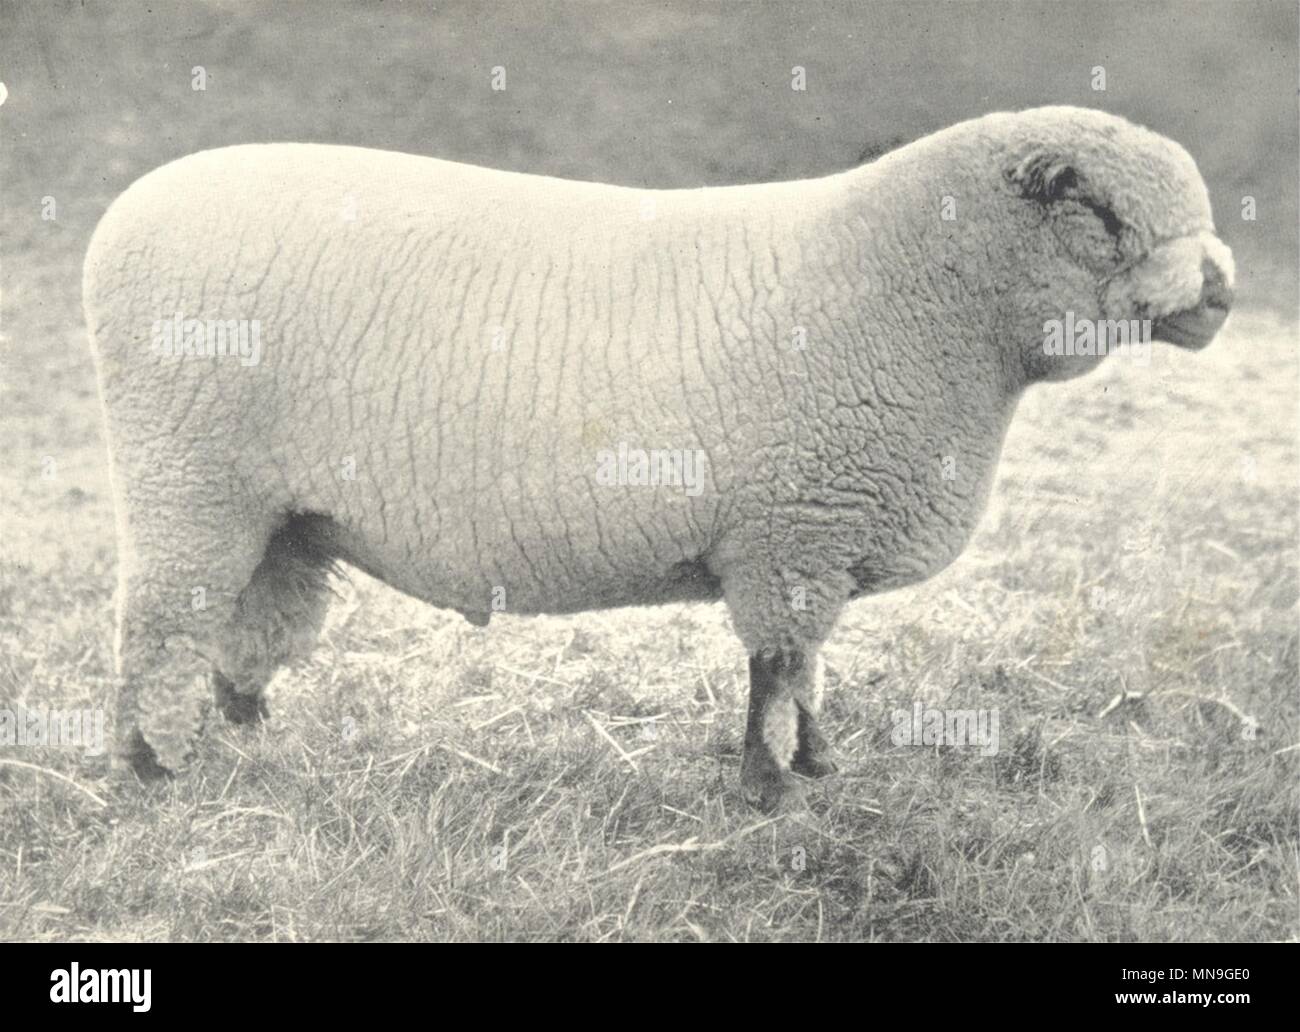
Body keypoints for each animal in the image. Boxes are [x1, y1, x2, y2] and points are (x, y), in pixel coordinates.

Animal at [83, 105, 1234, 809]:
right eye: (1099, 211)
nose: (1222, 291)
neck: (912, 290)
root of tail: (122, 214)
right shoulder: (791, 533)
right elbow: (776, 668)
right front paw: (770, 790)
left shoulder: (807, 540)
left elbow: (805, 669)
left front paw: (816, 761)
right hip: (185, 472)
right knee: (157, 624)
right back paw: (150, 768)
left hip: (276, 508)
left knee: (247, 623)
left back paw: (252, 737)